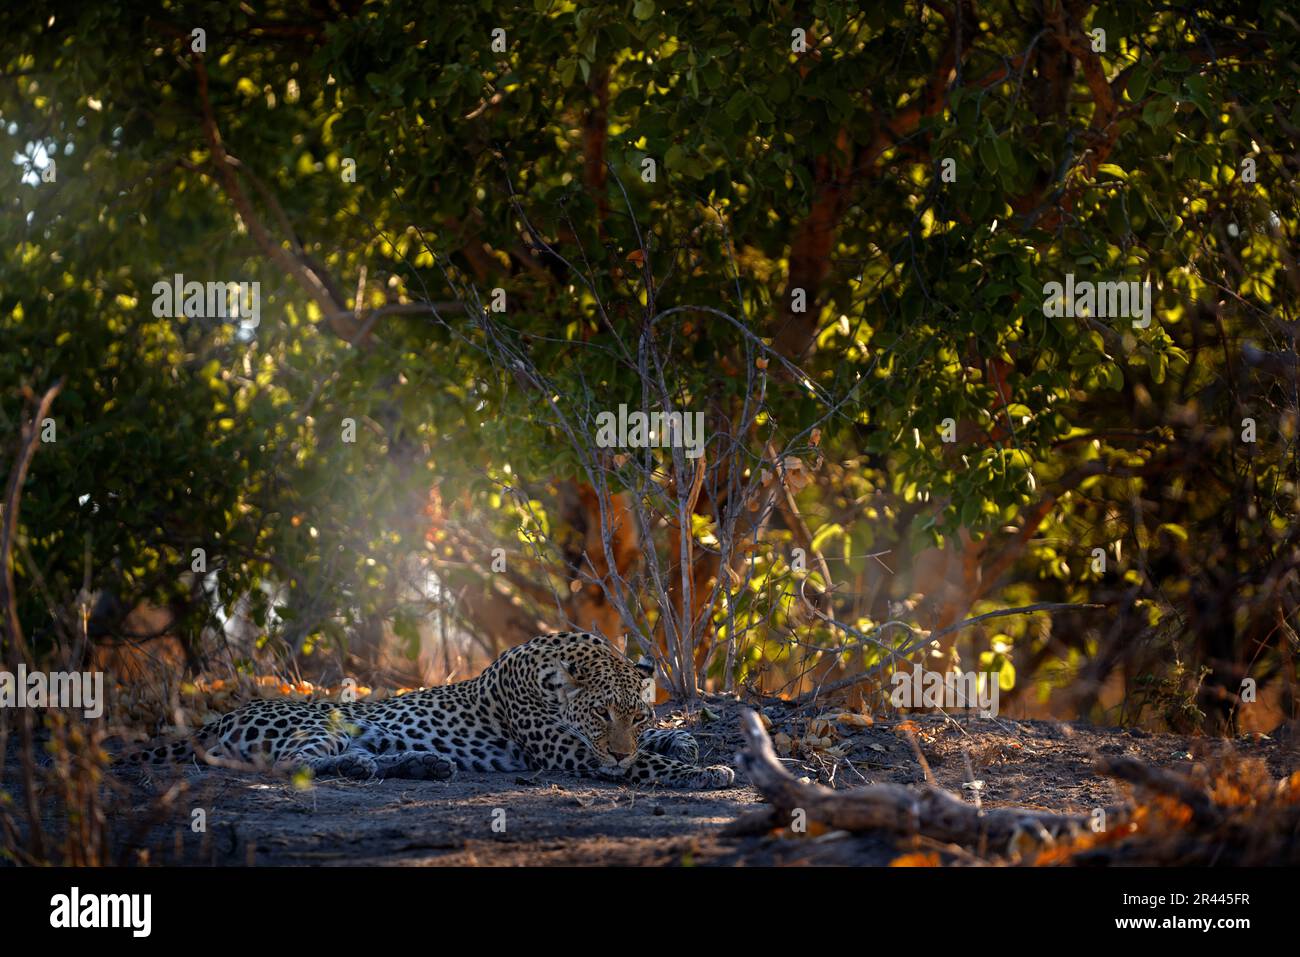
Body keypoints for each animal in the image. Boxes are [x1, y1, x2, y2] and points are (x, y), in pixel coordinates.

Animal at [126, 631, 735, 789]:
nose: (618, 750)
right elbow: (644, 764)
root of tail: (220, 717)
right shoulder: (567, 751)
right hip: (321, 722)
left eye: (635, 715)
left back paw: (423, 764)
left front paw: (685, 743)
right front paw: (710, 770)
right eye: (600, 714)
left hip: (360, 730)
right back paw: (371, 766)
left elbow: (655, 747)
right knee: (293, 762)